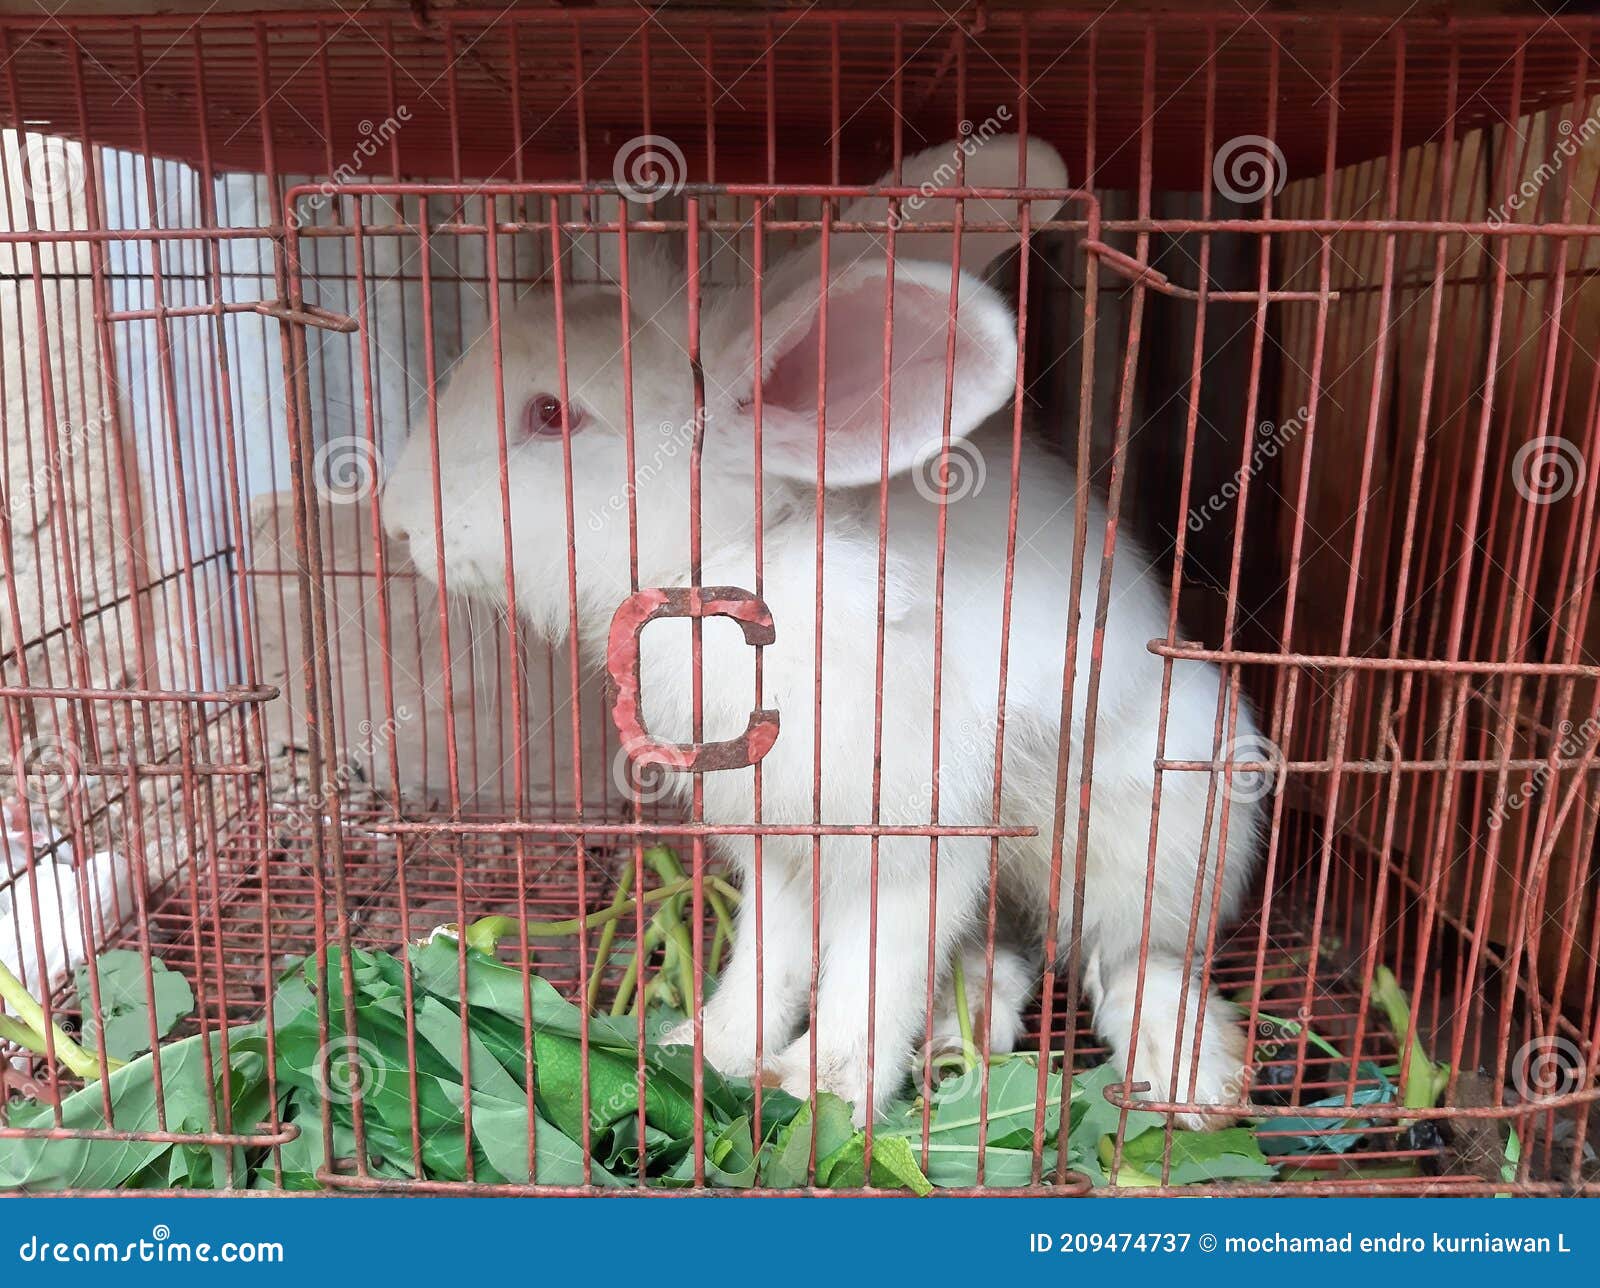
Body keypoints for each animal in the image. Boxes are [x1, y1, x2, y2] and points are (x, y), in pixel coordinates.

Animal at [381, 133, 1265, 1128]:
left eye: (550, 416)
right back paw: (959, 1035)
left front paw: (823, 1090)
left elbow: (874, 973)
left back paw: (1186, 1077)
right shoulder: (777, 843)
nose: (397, 522)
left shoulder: (906, 835)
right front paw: (710, 1049)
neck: (736, 556)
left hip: (1155, 836)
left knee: (1134, 959)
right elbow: (768, 958)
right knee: (1006, 952)